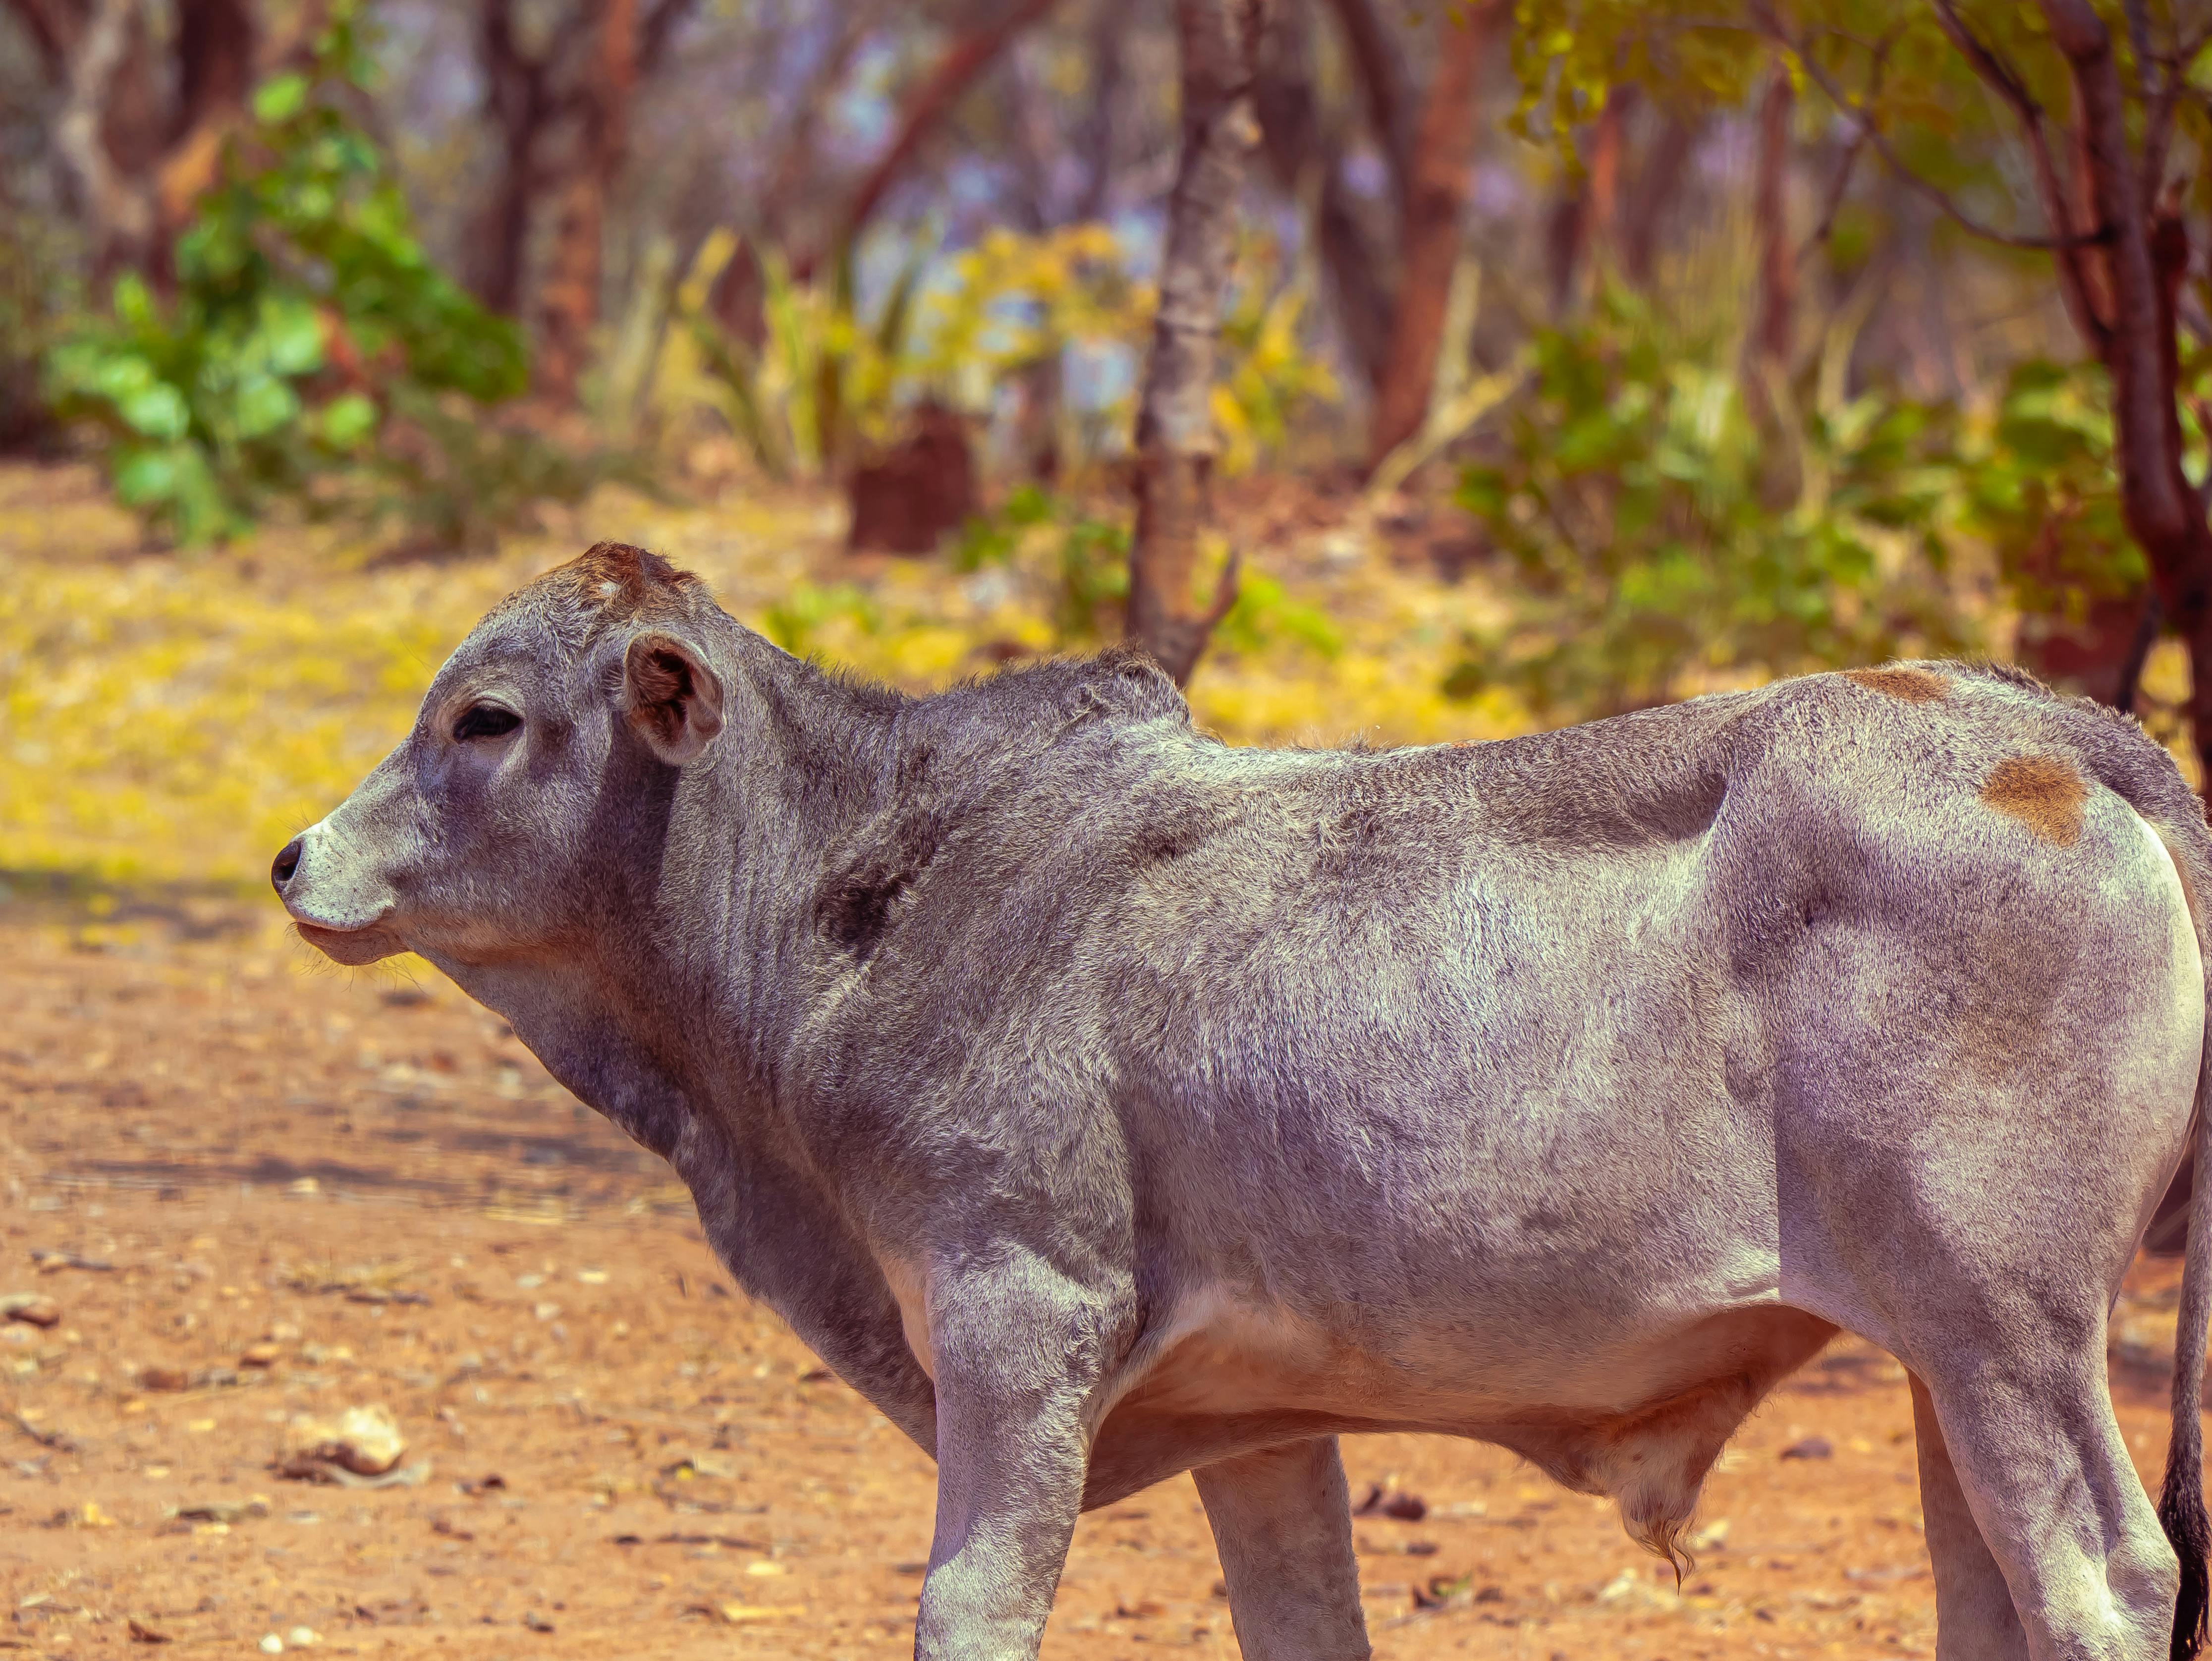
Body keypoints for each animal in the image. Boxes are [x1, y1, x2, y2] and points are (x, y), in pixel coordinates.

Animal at [272, 541, 2212, 1661]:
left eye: (487, 719)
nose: (294, 859)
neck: (863, 890)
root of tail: (2051, 732)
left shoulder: (1018, 1320)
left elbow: (970, 1605)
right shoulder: (1266, 1419)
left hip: (2007, 1327)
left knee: (2110, 1582)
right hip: (1948, 1360)